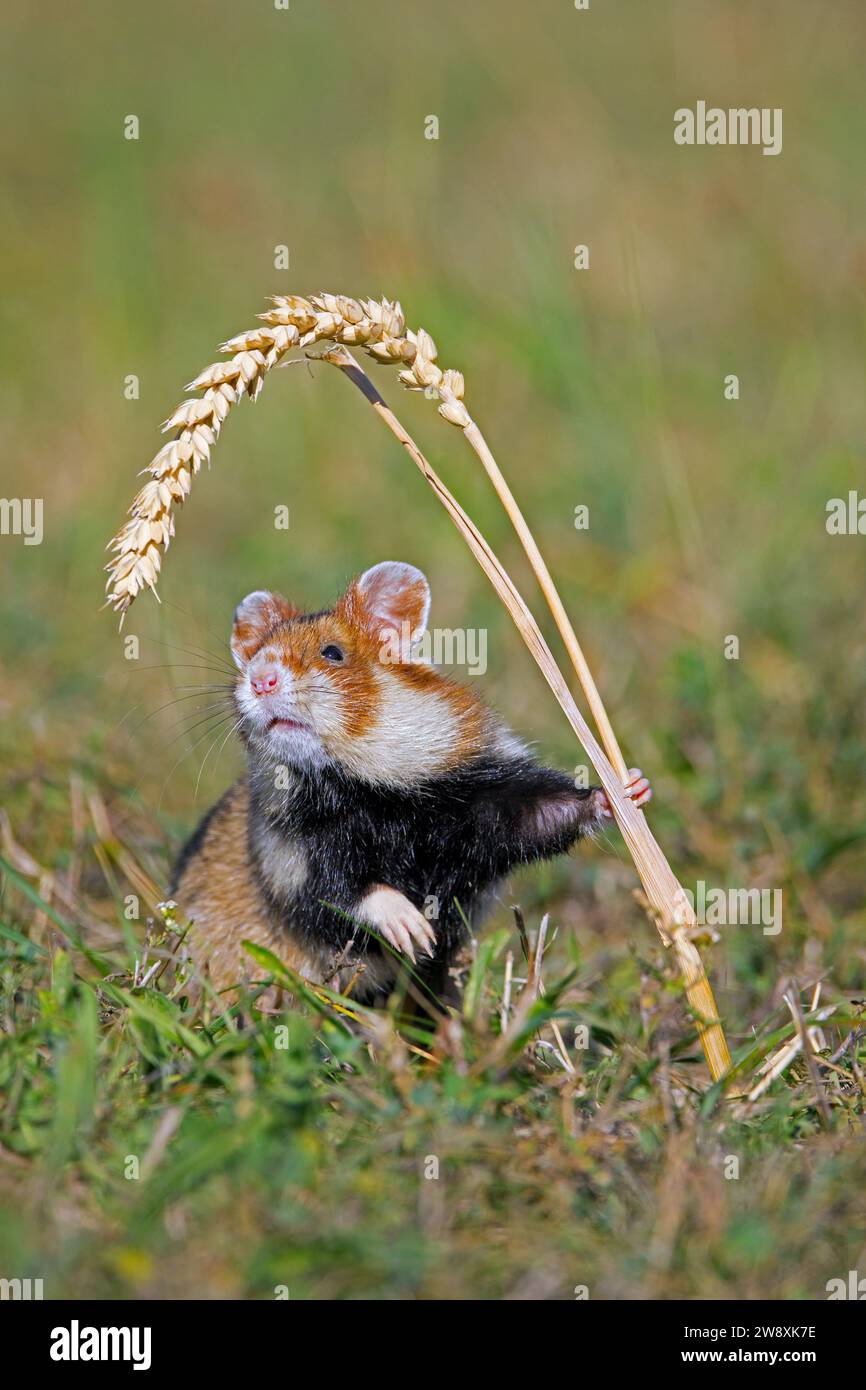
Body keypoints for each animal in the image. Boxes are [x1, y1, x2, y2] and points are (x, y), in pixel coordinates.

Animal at [171, 561, 651, 1008]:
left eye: (333, 653)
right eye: (254, 655)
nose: (259, 679)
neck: (361, 784)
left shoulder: (478, 796)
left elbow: (545, 811)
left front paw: (629, 790)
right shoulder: (292, 858)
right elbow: (344, 894)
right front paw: (416, 931)